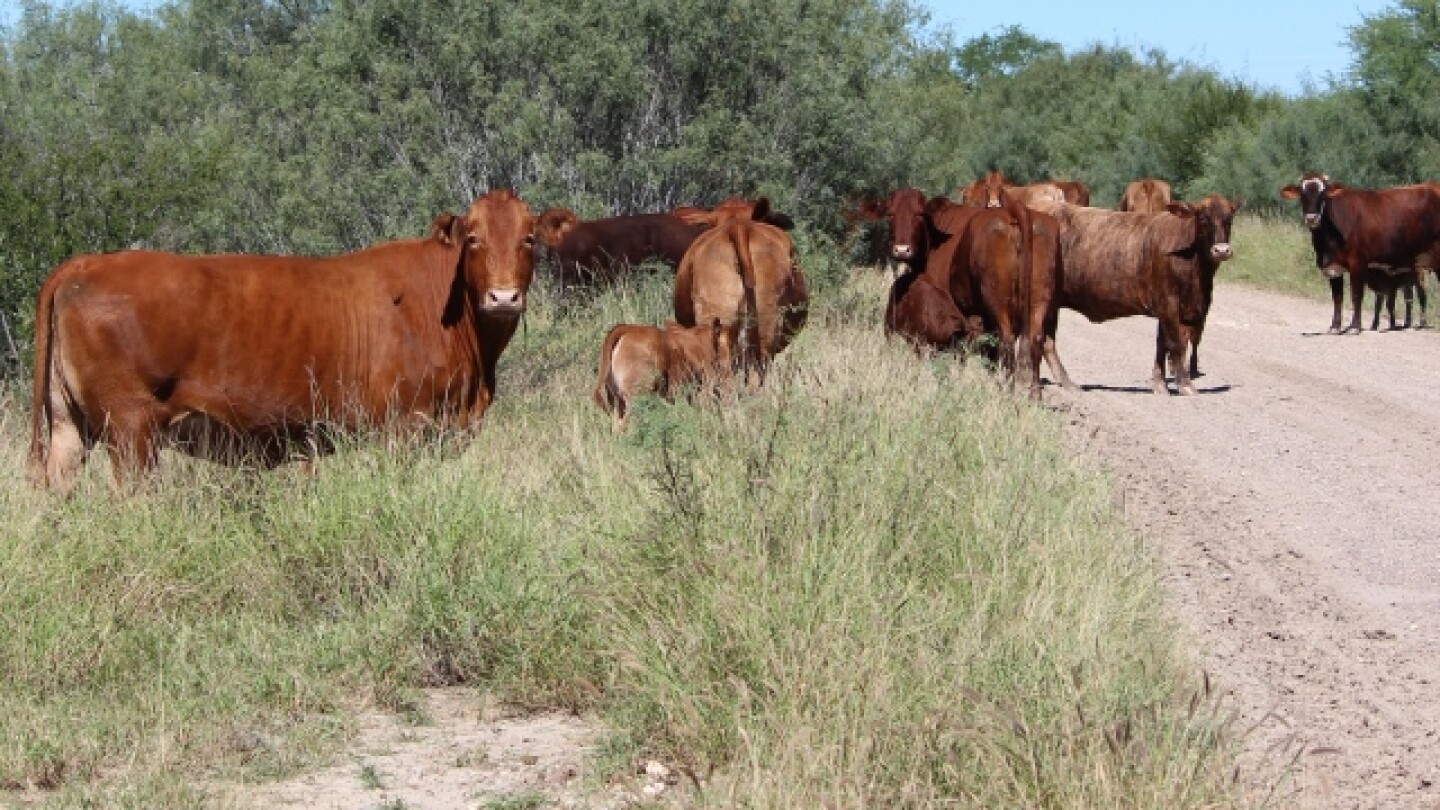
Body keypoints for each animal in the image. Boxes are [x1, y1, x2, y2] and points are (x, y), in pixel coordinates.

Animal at [29, 189, 576, 491]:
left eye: (528, 238)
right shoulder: (405, 427)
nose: (503, 297)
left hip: (68, 424)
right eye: (474, 239)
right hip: (130, 428)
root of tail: (88, 263)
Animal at [1032, 195, 1240, 396]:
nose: (1221, 250)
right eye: (1203, 218)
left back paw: (1066, 383)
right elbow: (1175, 344)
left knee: (1048, 341)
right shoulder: (1168, 303)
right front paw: (1185, 385)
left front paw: (1160, 384)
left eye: (1229, 219)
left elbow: (1161, 344)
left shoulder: (1170, 309)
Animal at [1280, 173, 1440, 333]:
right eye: (1302, 194)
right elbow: (1337, 298)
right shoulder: (1333, 267)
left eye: (1323, 194)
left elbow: (1356, 295)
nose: (1312, 218)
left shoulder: (1357, 262)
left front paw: (1355, 326)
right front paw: (1335, 326)